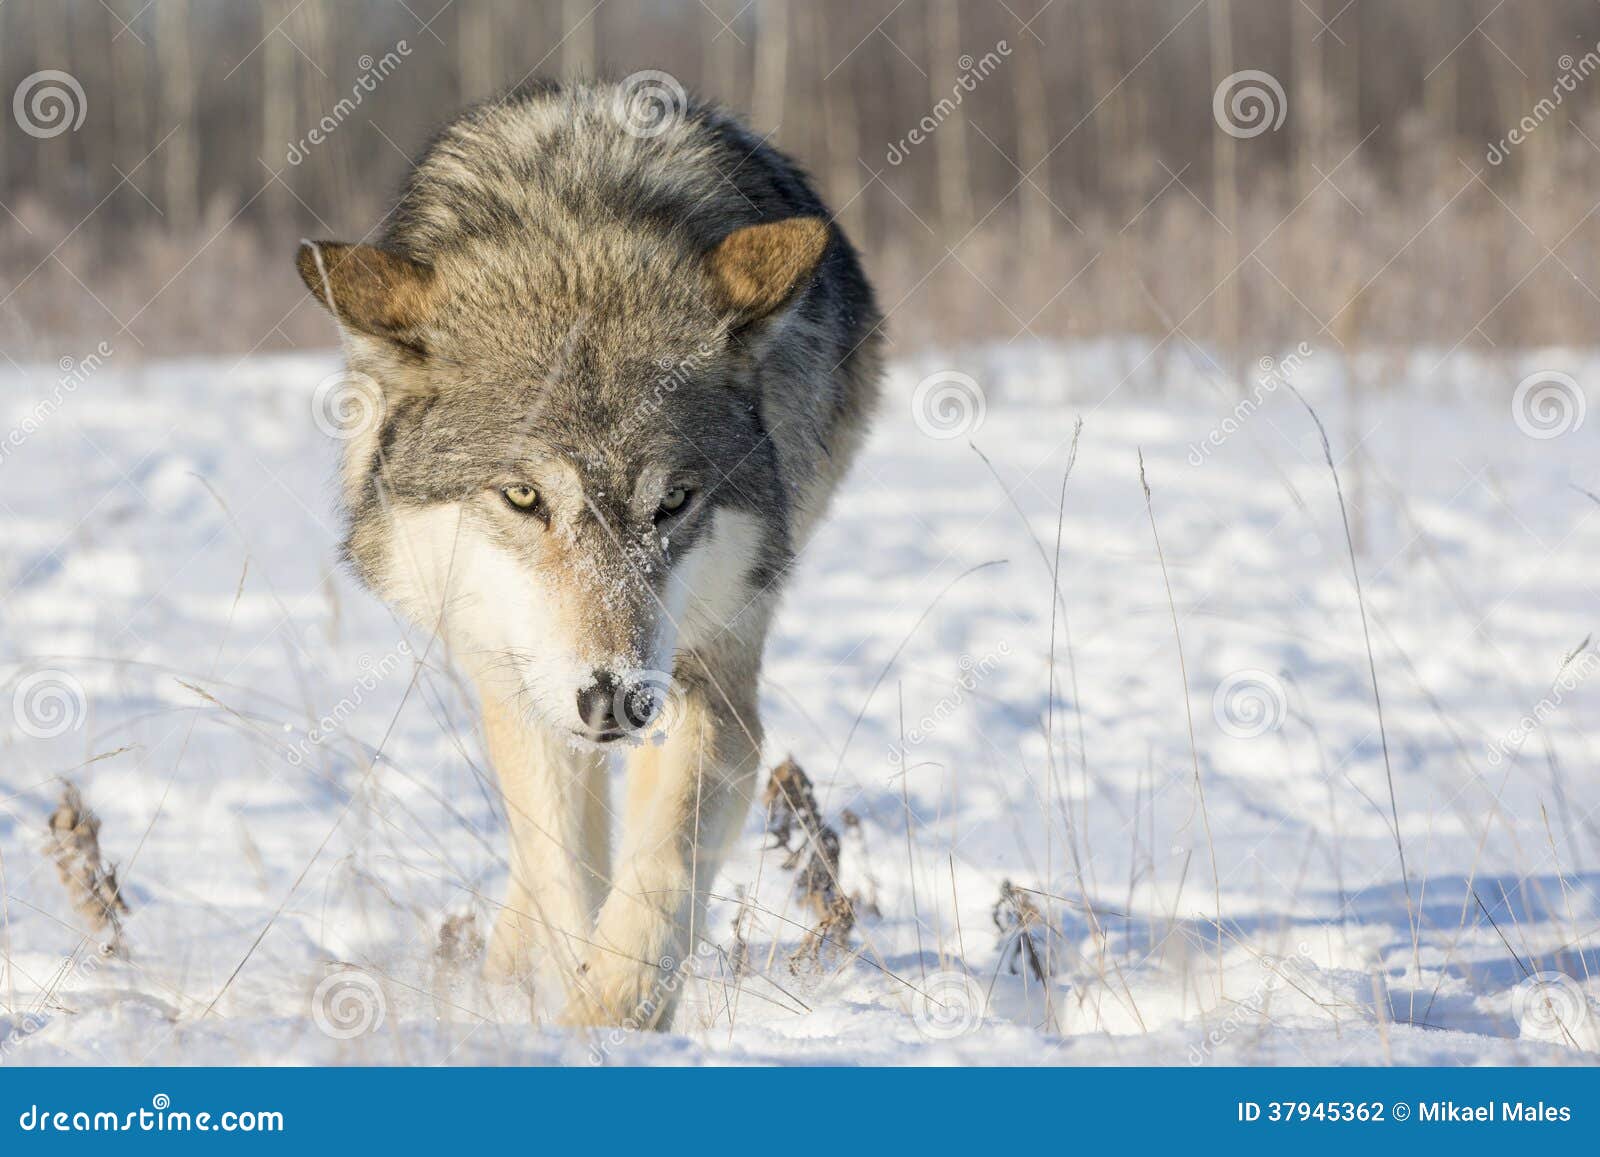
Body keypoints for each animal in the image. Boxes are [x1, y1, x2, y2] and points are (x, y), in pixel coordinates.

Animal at [295, 79, 882, 1029]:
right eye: (524, 497)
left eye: (672, 502)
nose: (616, 701)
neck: (582, 233)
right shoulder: (517, 683)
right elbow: (565, 868)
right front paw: (571, 1009)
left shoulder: (713, 679)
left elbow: (659, 869)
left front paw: (613, 1011)